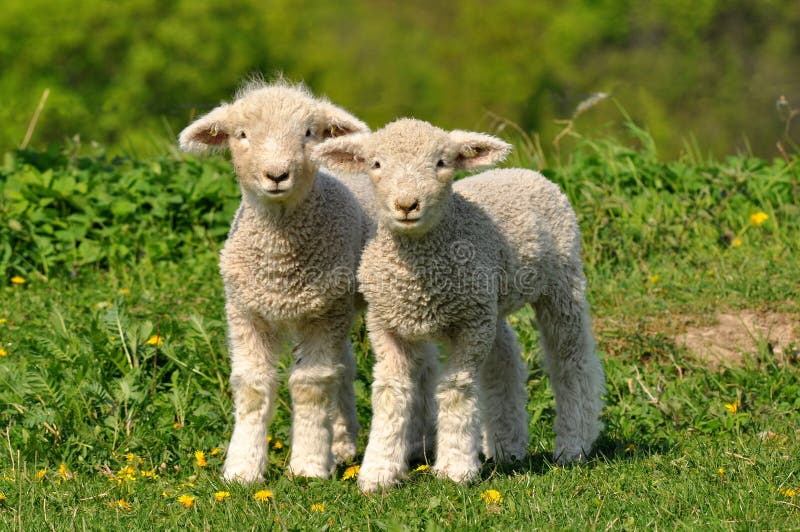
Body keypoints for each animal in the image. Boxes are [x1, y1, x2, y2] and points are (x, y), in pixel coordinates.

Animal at [178, 79, 372, 482]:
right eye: (241, 134)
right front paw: (242, 468)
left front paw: (309, 465)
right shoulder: (246, 312)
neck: (280, 267)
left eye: (309, 133)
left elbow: (311, 385)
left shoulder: (321, 315)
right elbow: (252, 386)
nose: (277, 175)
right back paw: (342, 442)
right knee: (345, 366)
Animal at [312, 117, 608, 490]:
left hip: (561, 282)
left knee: (571, 360)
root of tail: (527, 173)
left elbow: (455, 389)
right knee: (504, 358)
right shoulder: (386, 325)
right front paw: (379, 472)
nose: (406, 204)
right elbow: (391, 393)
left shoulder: (470, 324)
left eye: (441, 162)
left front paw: (455, 468)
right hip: (490, 301)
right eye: (376, 164)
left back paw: (574, 443)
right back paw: (507, 446)